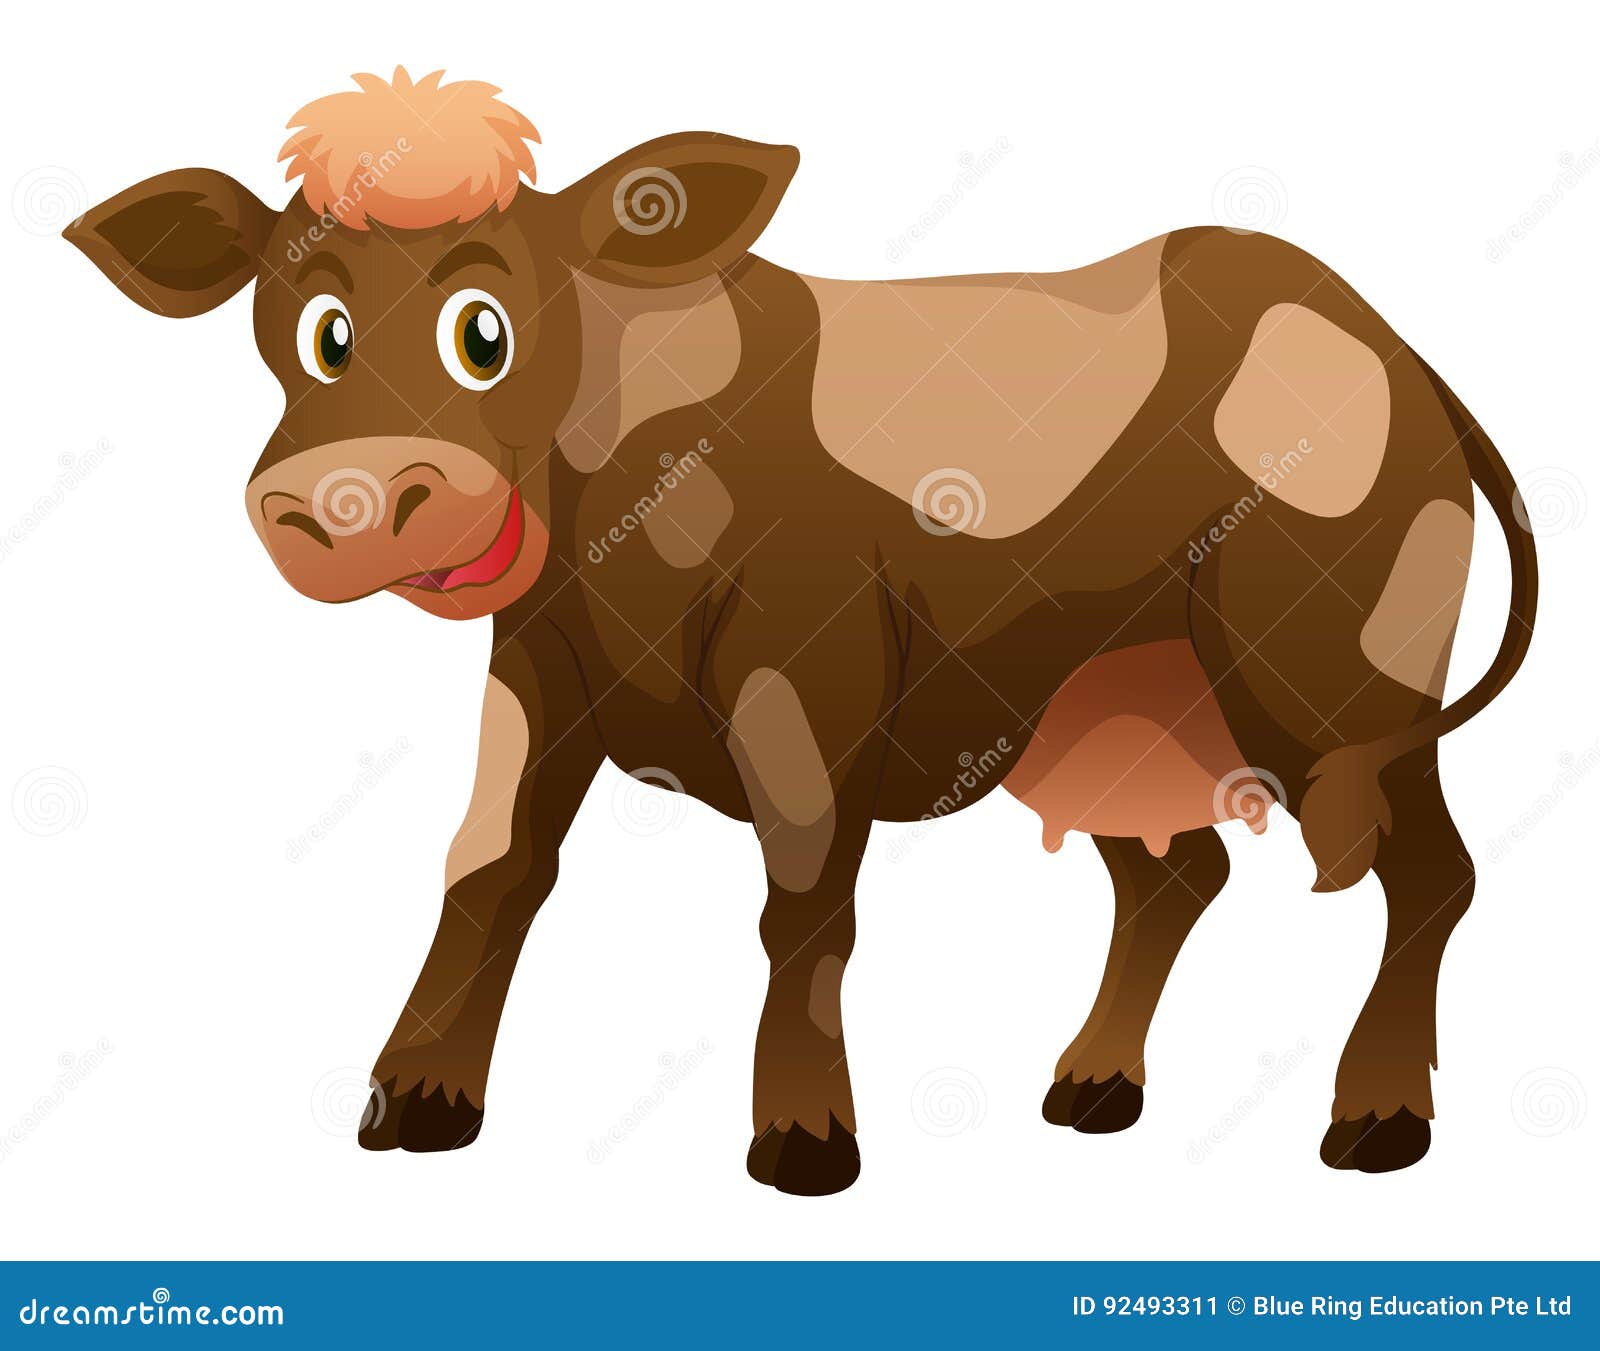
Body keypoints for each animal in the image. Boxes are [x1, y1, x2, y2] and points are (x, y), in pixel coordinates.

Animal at [65, 67, 1537, 1194]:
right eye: (317, 329)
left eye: (485, 329)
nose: (350, 494)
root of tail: (1391, 345)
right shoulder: (539, 666)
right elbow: (488, 863)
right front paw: (414, 1103)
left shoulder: (809, 672)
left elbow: (805, 901)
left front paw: (806, 1141)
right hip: (1114, 704)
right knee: (1175, 875)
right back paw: (1092, 1087)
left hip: (1334, 678)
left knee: (1429, 870)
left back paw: (1377, 1120)